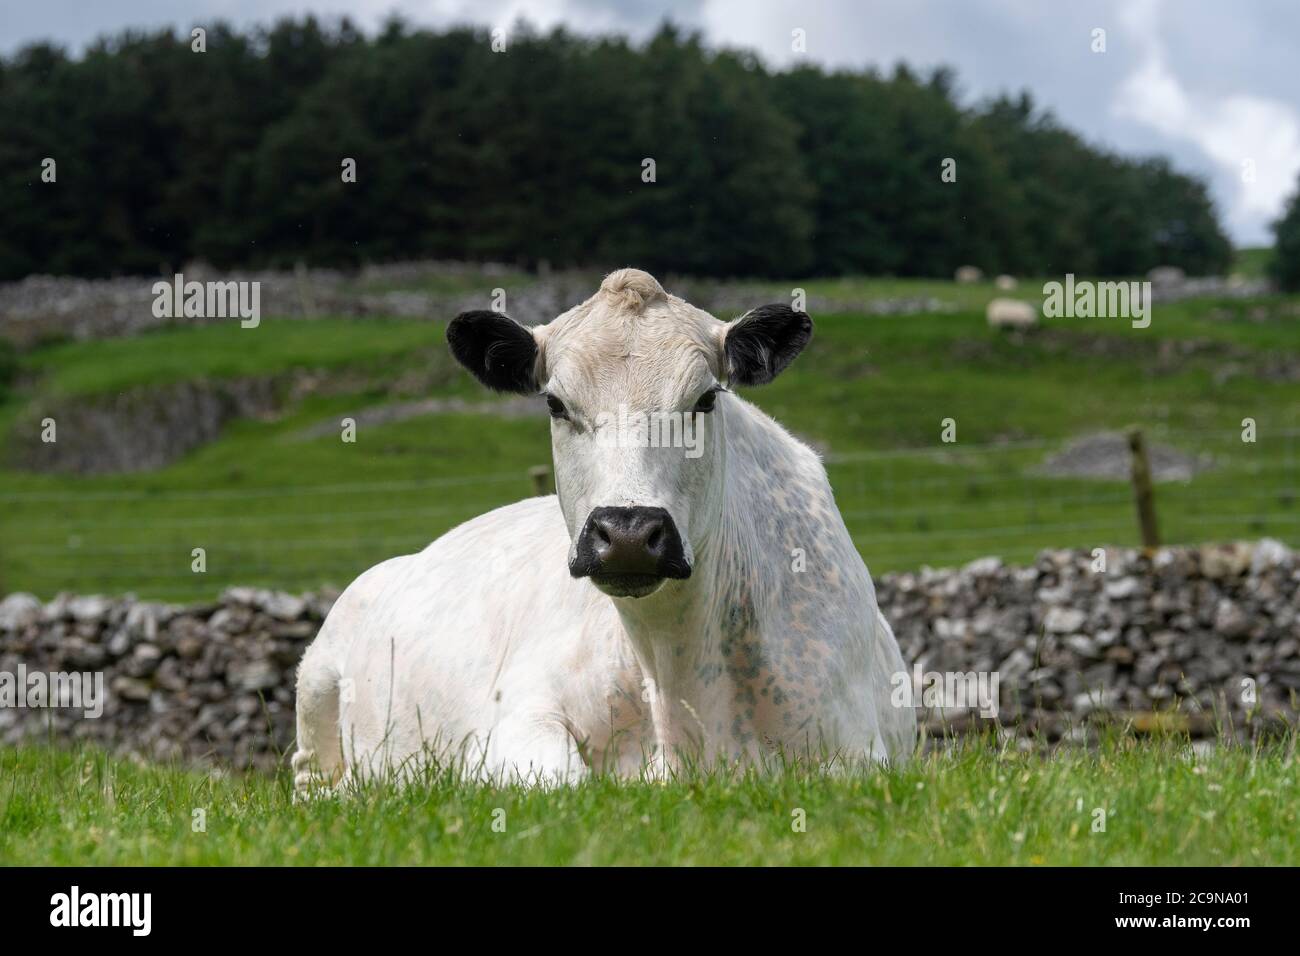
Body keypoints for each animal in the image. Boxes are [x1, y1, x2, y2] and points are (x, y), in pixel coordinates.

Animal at [293, 269, 915, 792]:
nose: (629, 531)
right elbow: (560, 781)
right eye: (555, 403)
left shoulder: (857, 751)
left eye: (705, 399)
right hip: (314, 684)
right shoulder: (514, 720)